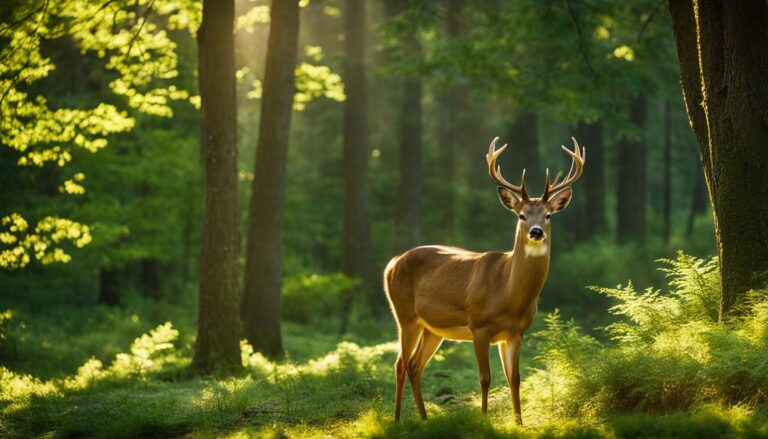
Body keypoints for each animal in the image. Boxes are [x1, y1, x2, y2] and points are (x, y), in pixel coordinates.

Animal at [383, 136, 585, 425]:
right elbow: (485, 378)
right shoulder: (479, 326)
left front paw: (519, 423)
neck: (508, 293)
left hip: (433, 328)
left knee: (414, 365)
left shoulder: (515, 333)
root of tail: (392, 263)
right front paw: (484, 419)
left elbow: (515, 379)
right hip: (405, 316)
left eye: (548, 215)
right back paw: (398, 419)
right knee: (400, 364)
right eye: (521, 215)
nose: (536, 232)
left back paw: (423, 419)